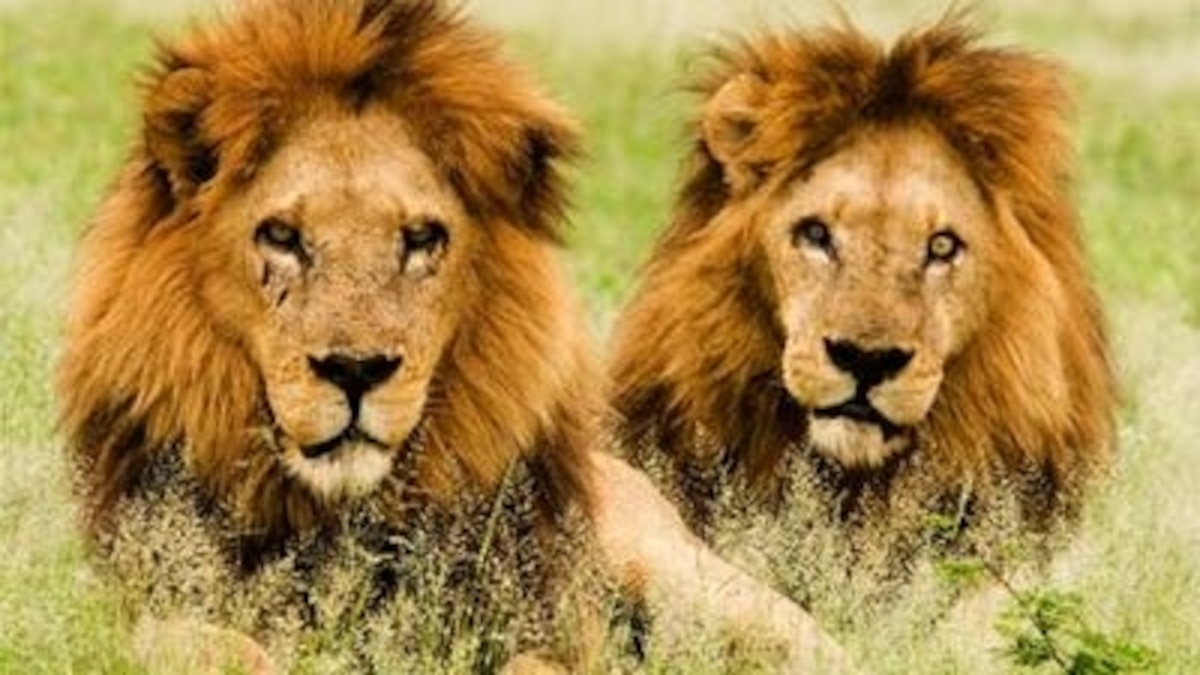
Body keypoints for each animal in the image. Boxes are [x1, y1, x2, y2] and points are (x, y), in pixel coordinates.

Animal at [56, 0, 852, 671]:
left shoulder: (541, 617)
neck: (341, 520)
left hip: (697, 585)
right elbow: (217, 645)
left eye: (420, 239)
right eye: (281, 236)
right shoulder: (137, 607)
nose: (355, 371)